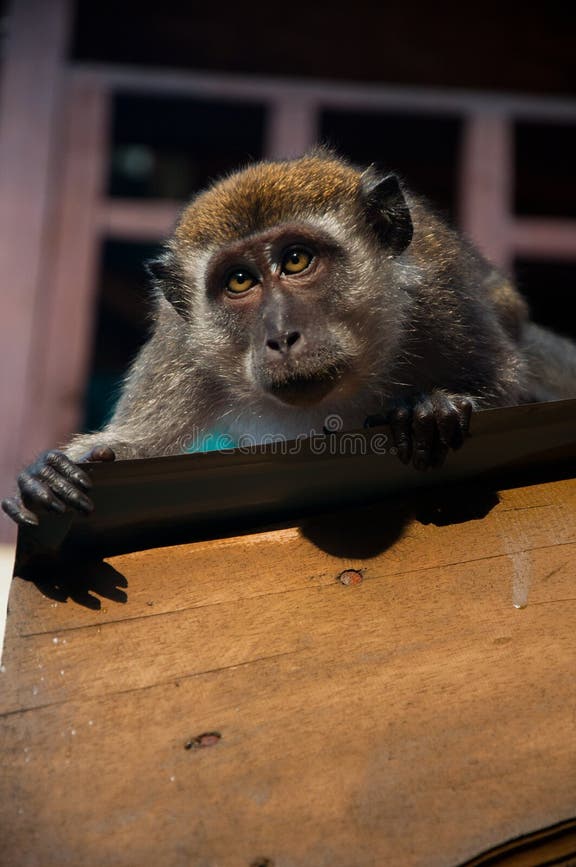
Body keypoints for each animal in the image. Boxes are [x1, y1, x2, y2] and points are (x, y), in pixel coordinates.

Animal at [3, 147, 576, 527]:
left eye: (297, 260)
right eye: (239, 281)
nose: (281, 336)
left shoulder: (441, 293)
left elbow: (504, 388)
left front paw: (431, 412)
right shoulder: (181, 351)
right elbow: (135, 445)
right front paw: (51, 476)